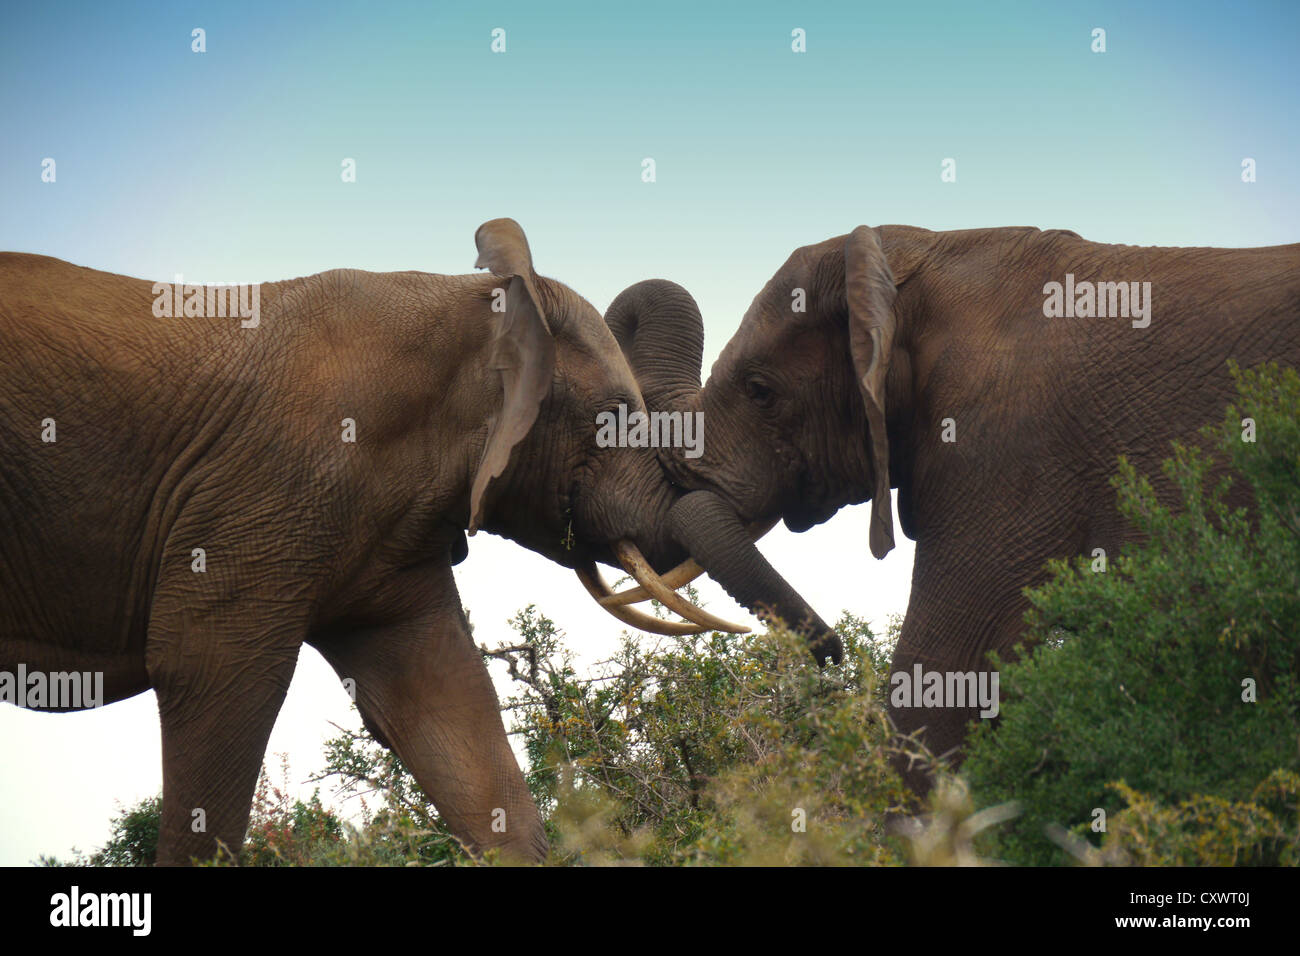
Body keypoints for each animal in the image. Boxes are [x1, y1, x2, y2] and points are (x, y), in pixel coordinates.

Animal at [0, 218, 806, 864]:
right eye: (612, 417)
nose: (822, 656)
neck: (478, 304)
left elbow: (445, 704)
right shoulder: (262, 491)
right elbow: (209, 673)